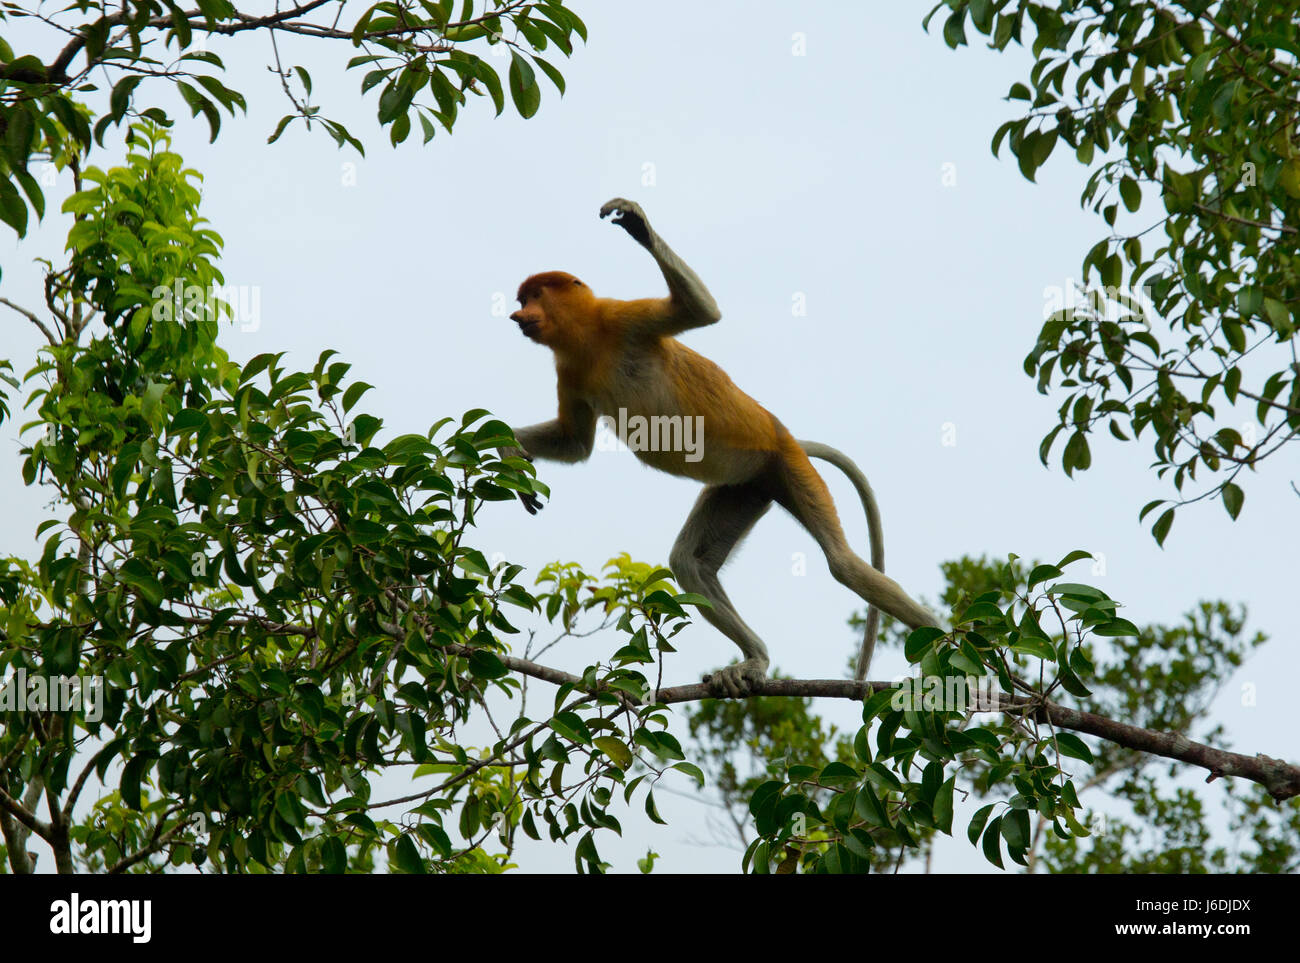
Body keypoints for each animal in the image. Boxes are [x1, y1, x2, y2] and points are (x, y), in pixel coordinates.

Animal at [504, 198, 939, 696]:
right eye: (522, 300)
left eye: (536, 295)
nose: (517, 317)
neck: (586, 336)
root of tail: (784, 438)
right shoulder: (571, 368)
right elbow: (575, 443)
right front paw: (510, 454)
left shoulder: (621, 318)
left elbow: (701, 311)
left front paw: (635, 222)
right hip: (747, 486)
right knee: (689, 563)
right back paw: (753, 661)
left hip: (785, 462)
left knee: (845, 566)